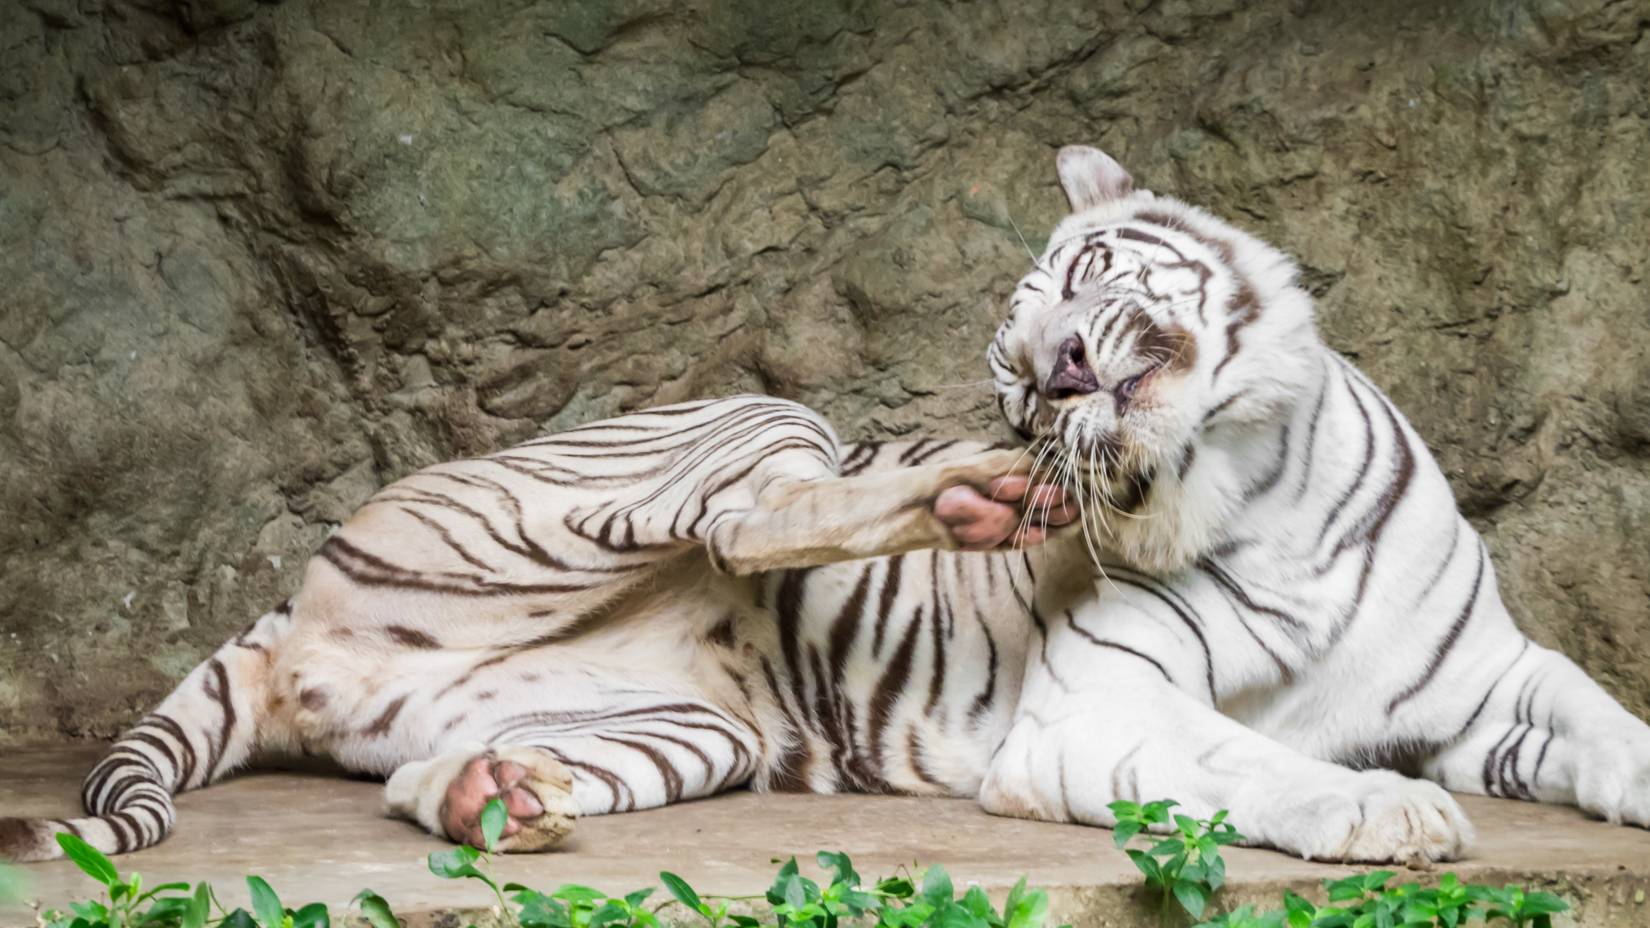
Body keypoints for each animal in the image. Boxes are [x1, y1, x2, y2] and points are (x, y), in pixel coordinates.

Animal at [5, 145, 1648, 867]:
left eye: (1088, 274)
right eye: (1012, 369)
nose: (1054, 378)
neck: (1260, 481)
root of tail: (289, 624)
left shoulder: (1498, 684)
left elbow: (1611, 726)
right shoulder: (1099, 710)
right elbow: (1252, 760)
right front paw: (1386, 808)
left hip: (687, 731)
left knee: (426, 785)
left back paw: (497, 799)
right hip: (731, 435)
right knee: (755, 513)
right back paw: (961, 496)